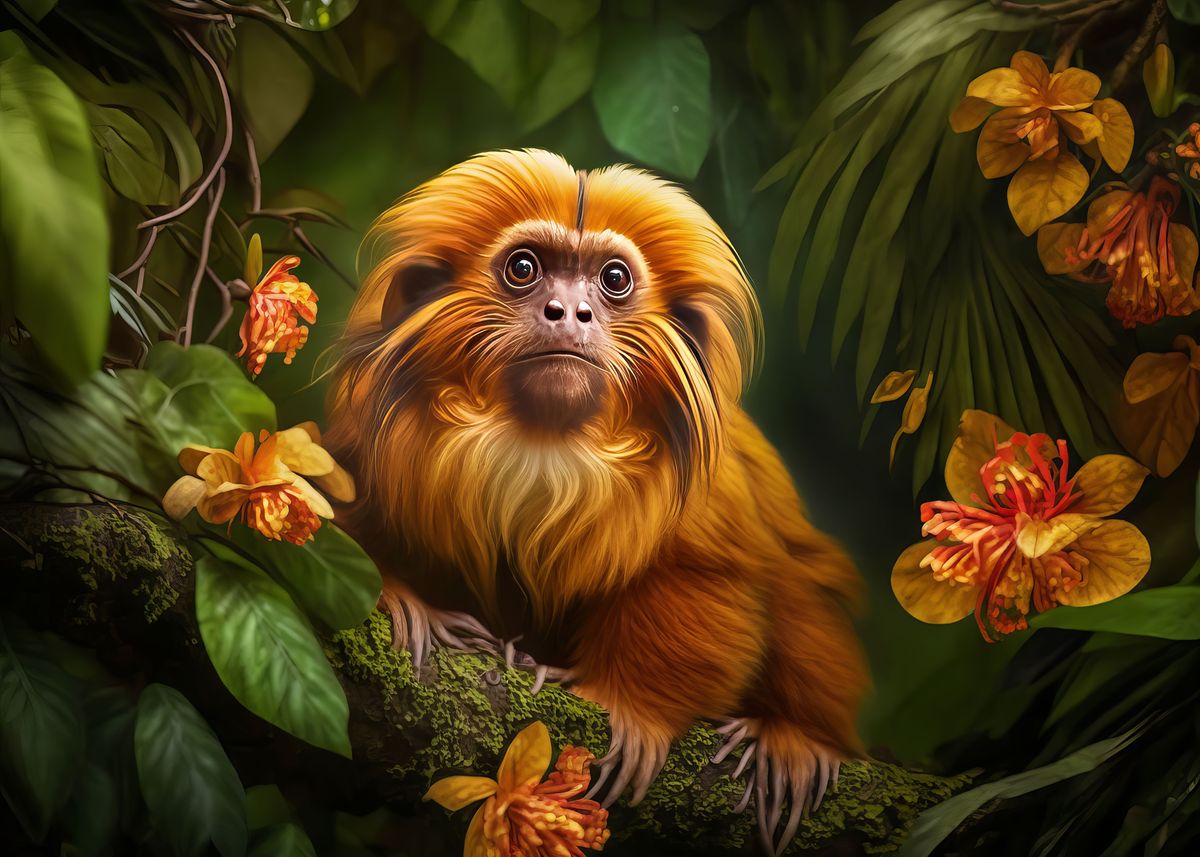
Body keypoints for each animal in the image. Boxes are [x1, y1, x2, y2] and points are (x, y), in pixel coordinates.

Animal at [325, 149, 867, 854]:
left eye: (613, 279)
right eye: (524, 269)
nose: (568, 312)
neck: (541, 450)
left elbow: (707, 578)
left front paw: (629, 707)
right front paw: (405, 602)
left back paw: (794, 744)